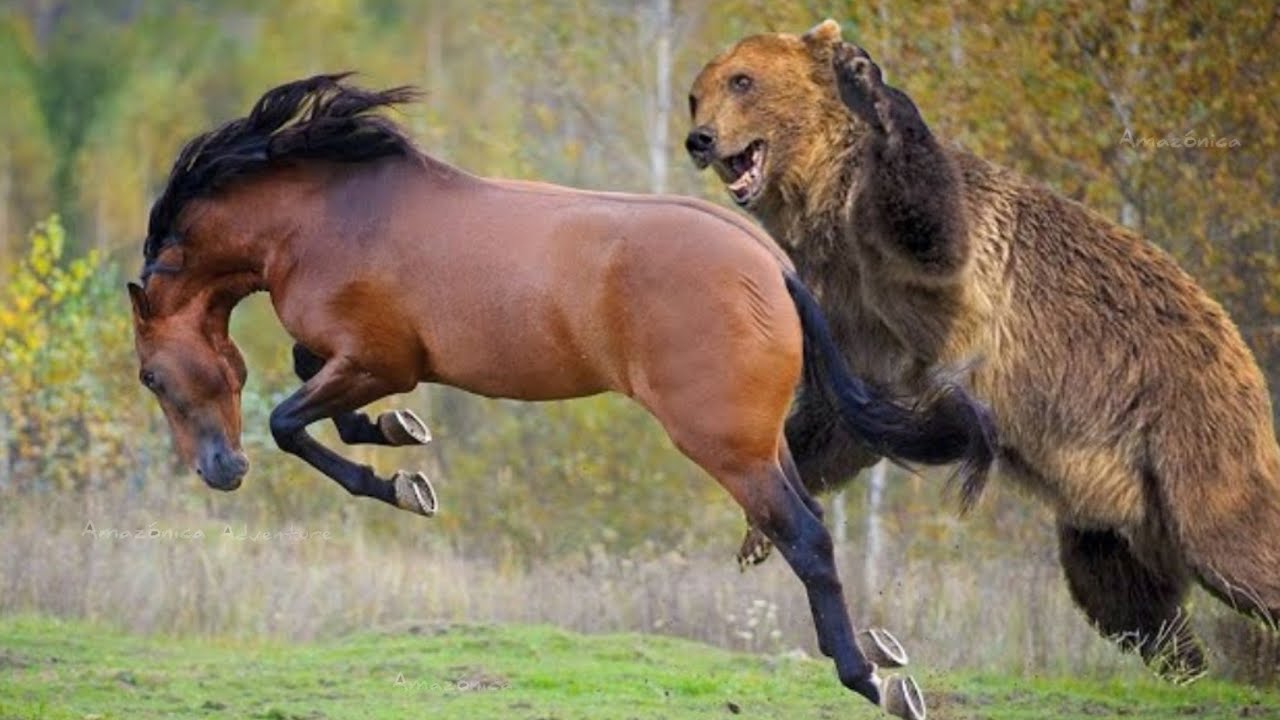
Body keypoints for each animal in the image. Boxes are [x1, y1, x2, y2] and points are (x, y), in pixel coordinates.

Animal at [128, 74, 994, 719]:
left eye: (151, 377)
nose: (219, 473)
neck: (322, 219)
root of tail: (770, 264)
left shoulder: (379, 359)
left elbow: (289, 420)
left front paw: (399, 481)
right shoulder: (361, 361)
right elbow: (313, 390)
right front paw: (395, 436)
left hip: (722, 445)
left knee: (806, 538)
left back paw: (872, 678)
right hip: (759, 441)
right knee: (802, 522)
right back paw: (875, 653)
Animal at [686, 19, 1280, 682]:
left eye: (743, 81)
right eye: (697, 93)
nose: (699, 138)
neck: (826, 210)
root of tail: (1237, 344)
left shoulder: (933, 259)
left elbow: (933, 226)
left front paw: (866, 80)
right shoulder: (849, 307)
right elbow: (834, 421)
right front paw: (759, 525)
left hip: (1188, 426)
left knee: (1233, 547)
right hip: (1113, 502)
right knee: (1121, 595)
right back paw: (1186, 663)